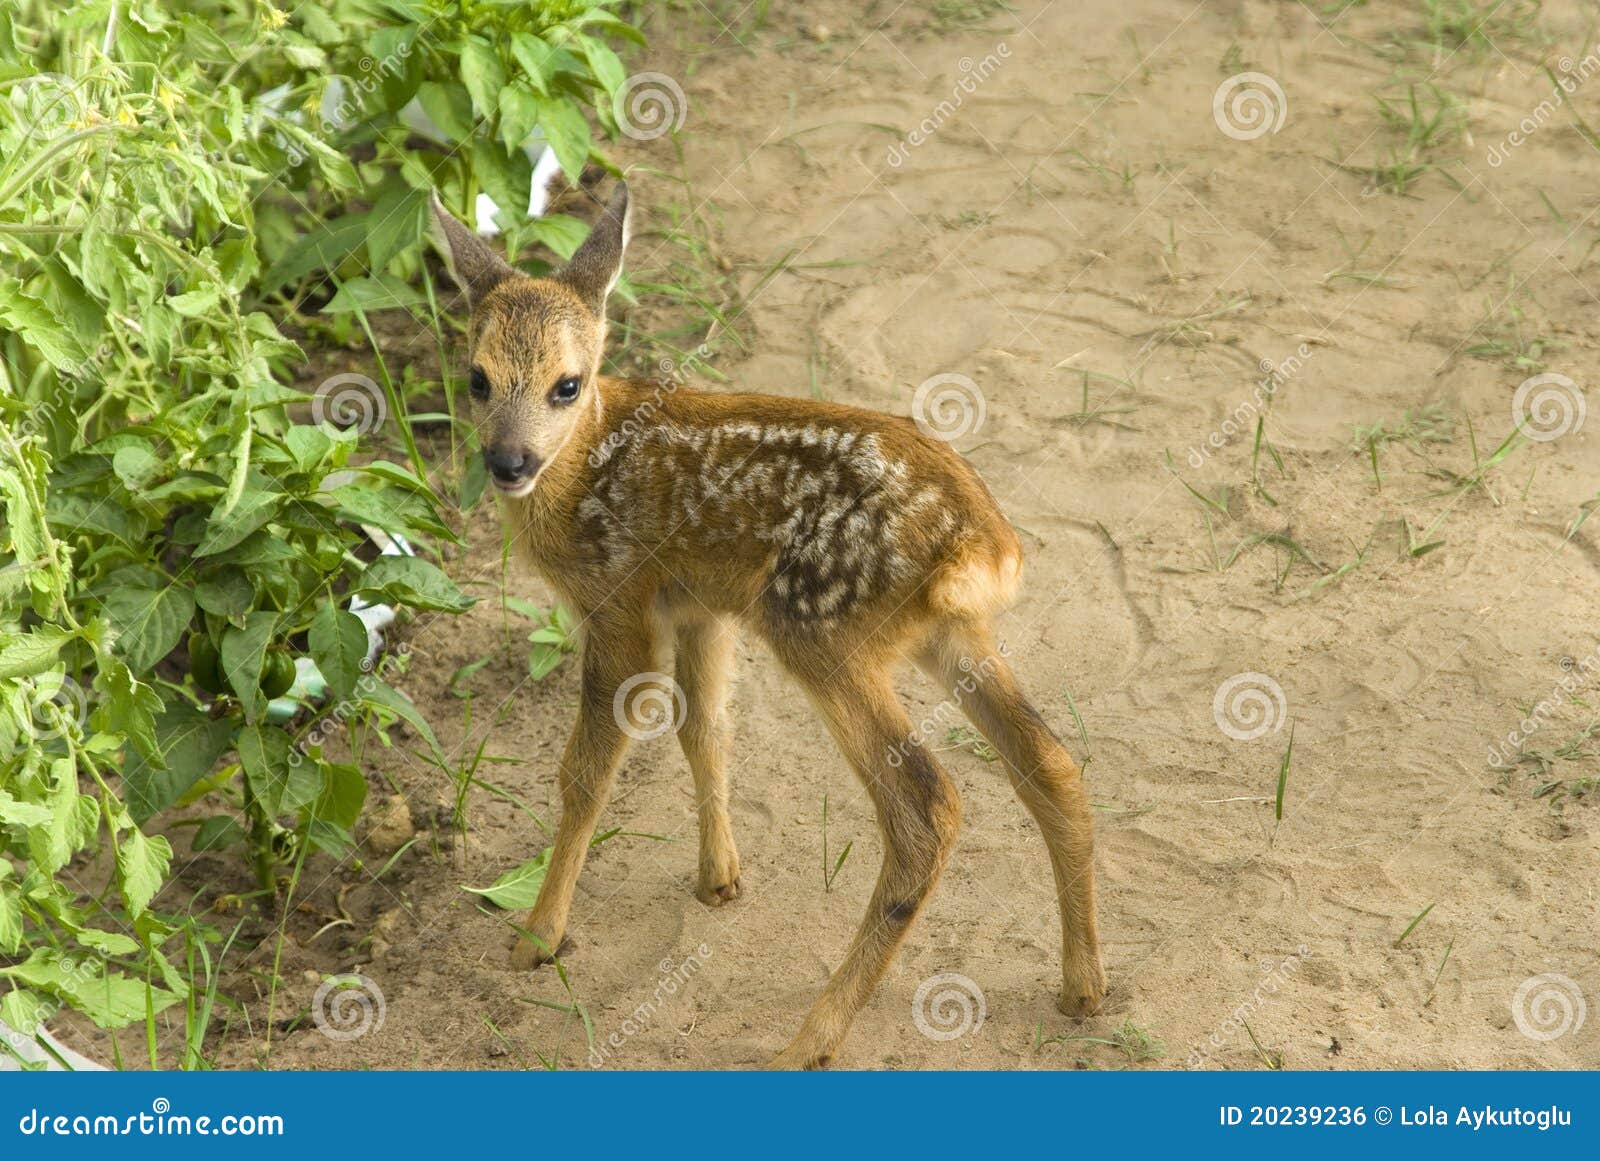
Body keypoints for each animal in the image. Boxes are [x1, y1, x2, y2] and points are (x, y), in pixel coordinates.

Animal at [428, 182, 1106, 1069]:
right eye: (477, 379)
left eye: (566, 385)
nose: (507, 462)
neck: (580, 475)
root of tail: (985, 545)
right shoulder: (699, 607)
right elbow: (706, 728)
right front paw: (719, 877)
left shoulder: (620, 602)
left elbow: (585, 772)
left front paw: (536, 938)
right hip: (946, 637)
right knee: (1051, 762)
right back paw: (1083, 983)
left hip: (817, 623)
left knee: (927, 807)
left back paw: (810, 1038)